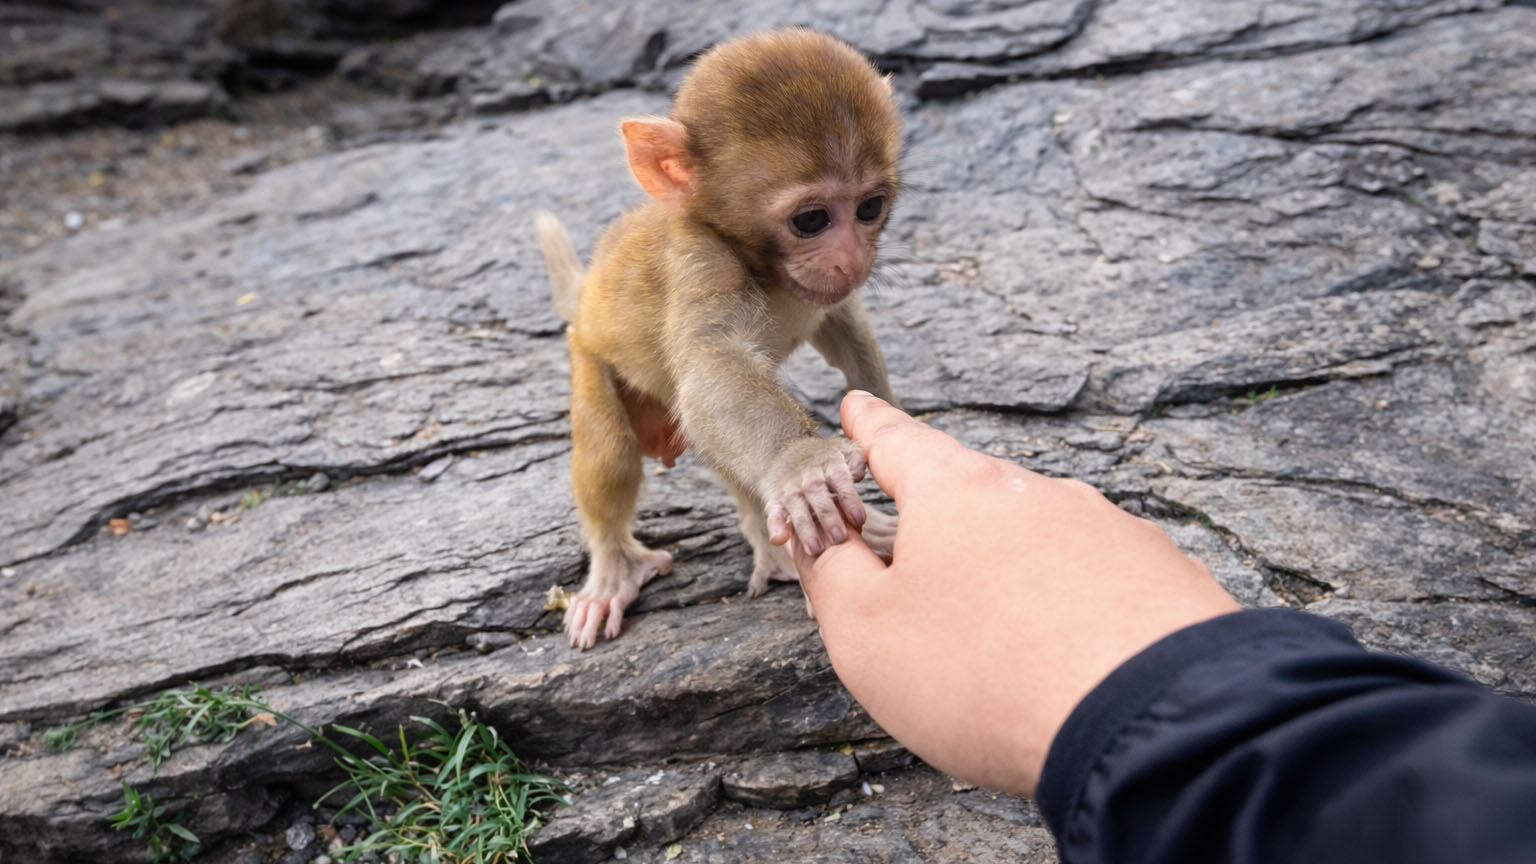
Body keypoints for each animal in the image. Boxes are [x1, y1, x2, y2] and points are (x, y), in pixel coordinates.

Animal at [535, 28, 903, 650]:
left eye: (870, 207)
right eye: (812, 220)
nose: (853, 260)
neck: (765, 267)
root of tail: (582, 301)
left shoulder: (826, 297)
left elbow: (840, 324)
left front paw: (883, 409)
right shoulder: (701, 260)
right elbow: (713, 361)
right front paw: (801, 462)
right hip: (589, 356)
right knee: (610, 448)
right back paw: (613, 570)